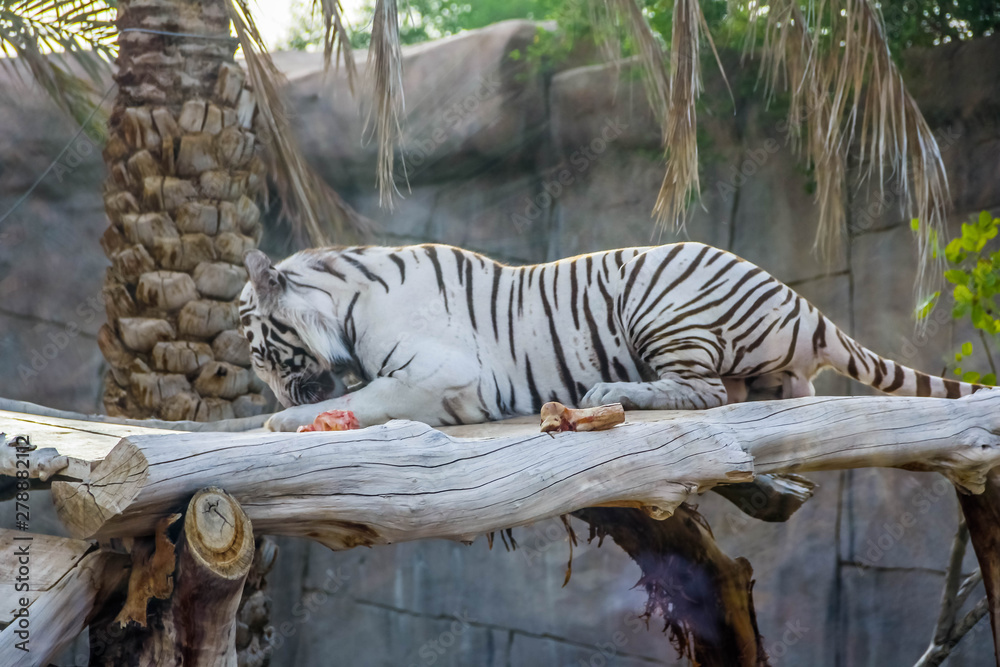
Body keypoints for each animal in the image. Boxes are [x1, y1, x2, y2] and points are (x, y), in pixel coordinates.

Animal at [239, 242, 985, 433]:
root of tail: (806, 307)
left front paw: (287, 418)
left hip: (659, 300)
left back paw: (607, 391)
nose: (278, 393)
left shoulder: (439, 373)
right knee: (768, 388)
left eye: (263, 354)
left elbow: (364, 399)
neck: (346, 302)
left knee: (704, 392)